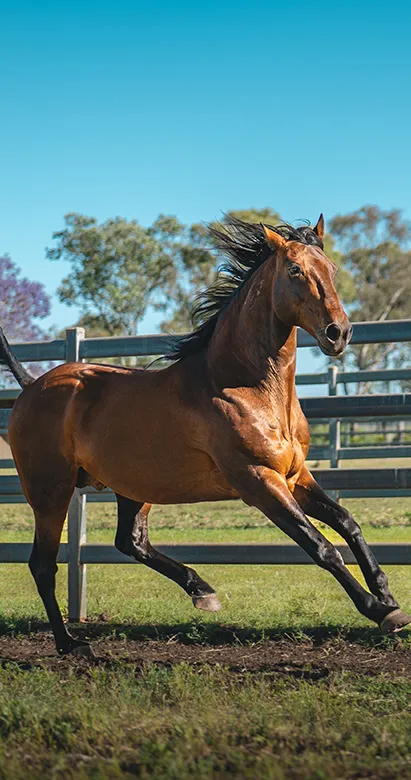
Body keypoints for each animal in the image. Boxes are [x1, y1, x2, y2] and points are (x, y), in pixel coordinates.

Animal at [1, 214, 410, 657]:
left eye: (332, 270)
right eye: (295, 270)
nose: (339, 333)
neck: (246, 387)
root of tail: (30, 386)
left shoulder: (295, 478)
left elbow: (348, 523)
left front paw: (389, 598)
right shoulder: (259, 481)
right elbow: (321, 545)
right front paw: (377, 609)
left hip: (133, 487)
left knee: (131, 542)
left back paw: (202, 590)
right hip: (50, 492)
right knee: (43, 564)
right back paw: (71, 643)